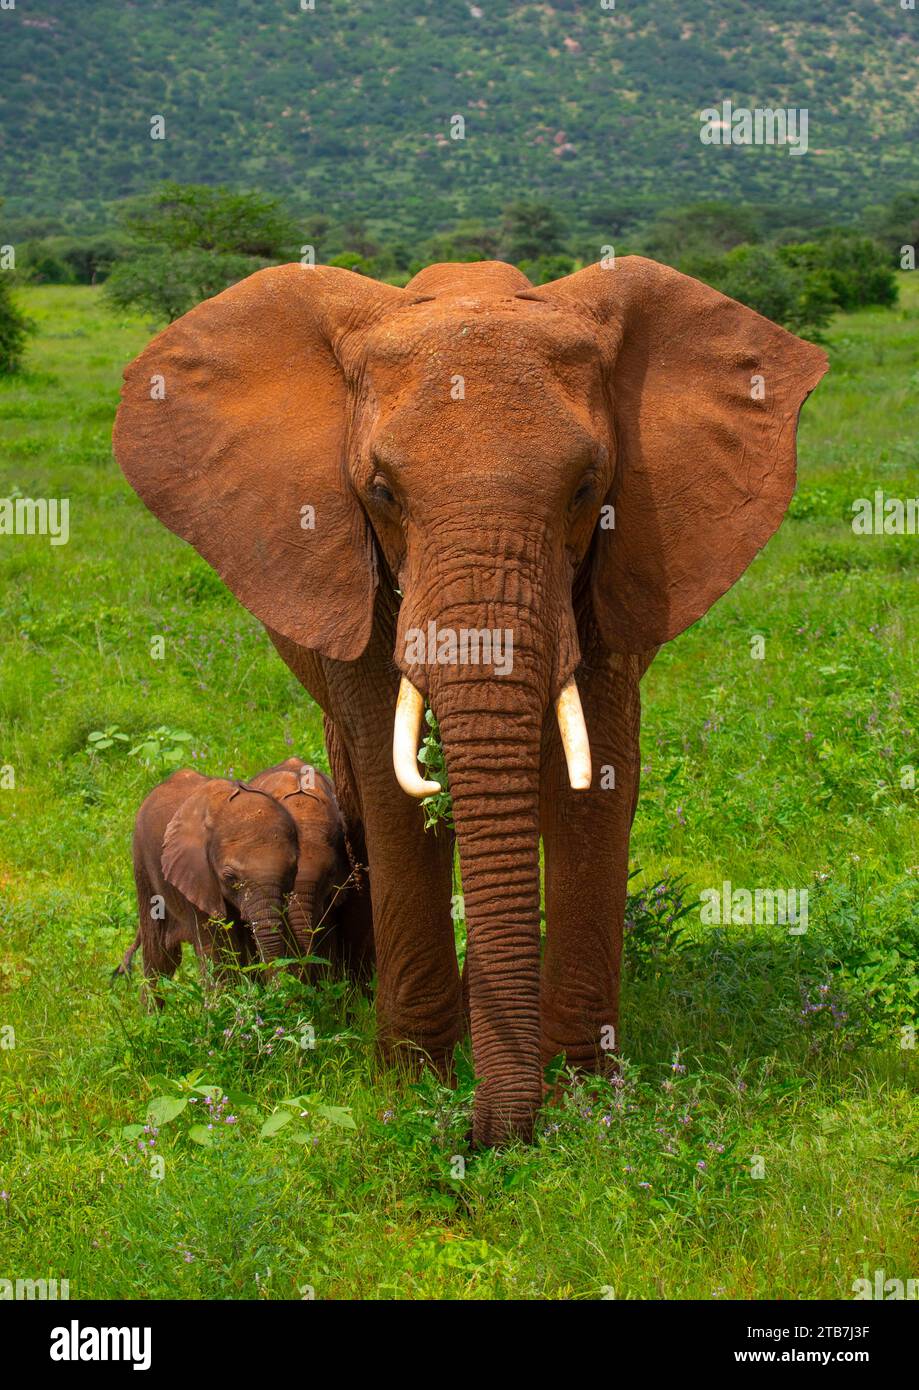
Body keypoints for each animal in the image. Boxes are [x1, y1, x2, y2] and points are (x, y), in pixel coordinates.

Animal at [117, 768, 300, 996]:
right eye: (230, 878)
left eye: (291, 870)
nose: (281, 989)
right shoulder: (197, 876)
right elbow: (219, 954)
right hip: (143, 865)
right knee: (160, 956)